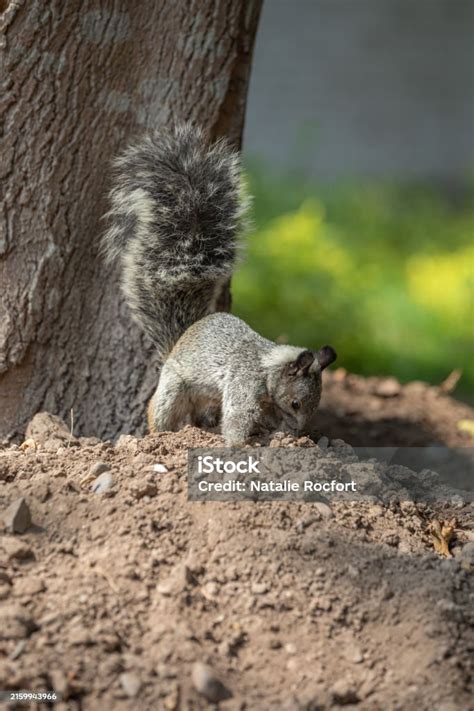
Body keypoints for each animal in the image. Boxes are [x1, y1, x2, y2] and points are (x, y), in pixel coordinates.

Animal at [102, 124, 336, 446]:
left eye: (315, 404)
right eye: (296, 402)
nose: (300, 431)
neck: (267, 365)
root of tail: (178, 341)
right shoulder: (243, 382)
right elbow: (239, 415)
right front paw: (239, 444)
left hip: (206, 401)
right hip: (173, 390)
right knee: (159, 411)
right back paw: (160, 436)